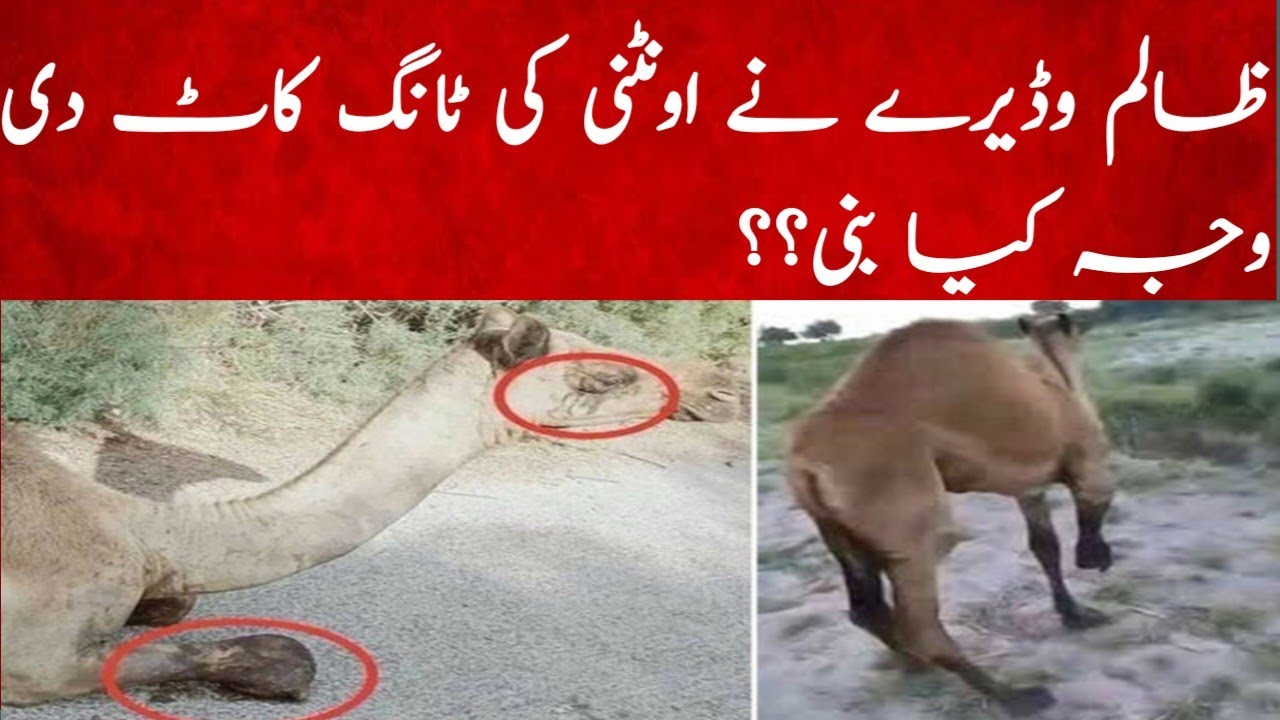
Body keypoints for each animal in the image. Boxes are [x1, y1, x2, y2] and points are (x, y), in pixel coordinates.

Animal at [787, 313, 1114, 717]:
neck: (1057, 383)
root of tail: (806, 467)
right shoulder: (1090, 459)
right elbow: (1094, 503)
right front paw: (1094, 561)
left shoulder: (1027, 489)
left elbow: (1044, 547)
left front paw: (1075, 615)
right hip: (911, 520)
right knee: (922, 619)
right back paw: (1017, 697)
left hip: (834, 528)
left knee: (866, 609)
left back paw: (914, 666)